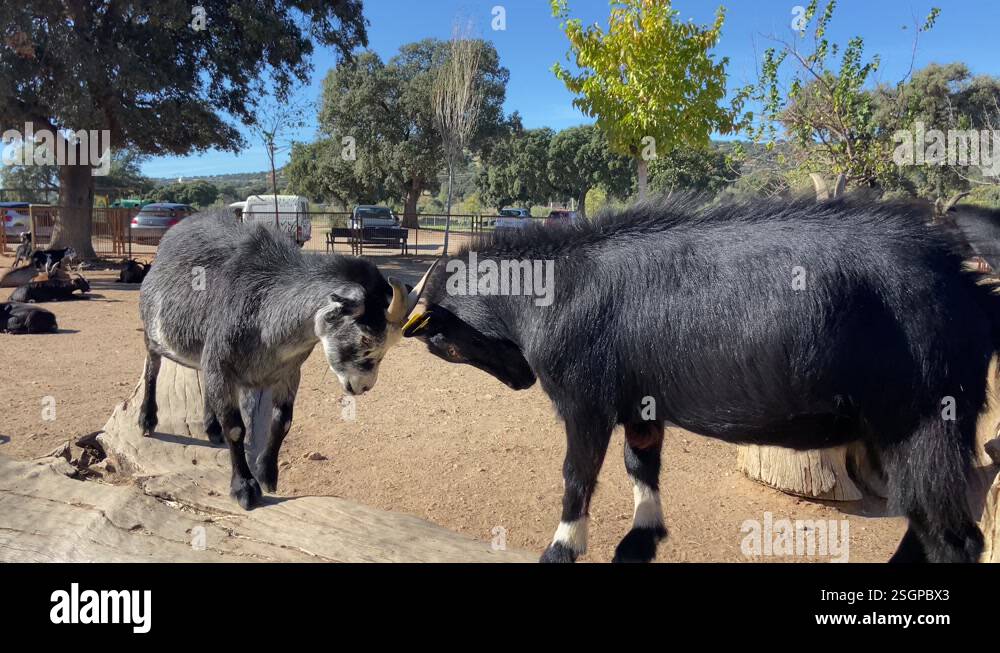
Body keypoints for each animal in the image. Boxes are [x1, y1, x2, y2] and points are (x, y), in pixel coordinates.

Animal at [138, 211, 433, 509]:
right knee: (152, 367)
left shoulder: (289, 371)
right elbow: (235, 429)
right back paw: (147, 420)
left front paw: (267, 473)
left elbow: (284, 421)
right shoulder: (222, 365)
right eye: (365, 338)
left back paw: (211, 427)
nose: (363, 386)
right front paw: (244, 487)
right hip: (153, 332)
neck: (264, 312)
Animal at [403, 195, 1000, 563]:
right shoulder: (640, 403)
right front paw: (642, 537)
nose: (521, 382)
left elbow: (577, 475)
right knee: (923, 524)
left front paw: (562, 547)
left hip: (925, 421)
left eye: (440, 344)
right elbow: (641, 464)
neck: (549, 292)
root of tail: (970, 288)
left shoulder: (586, 400)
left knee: (954, 538)